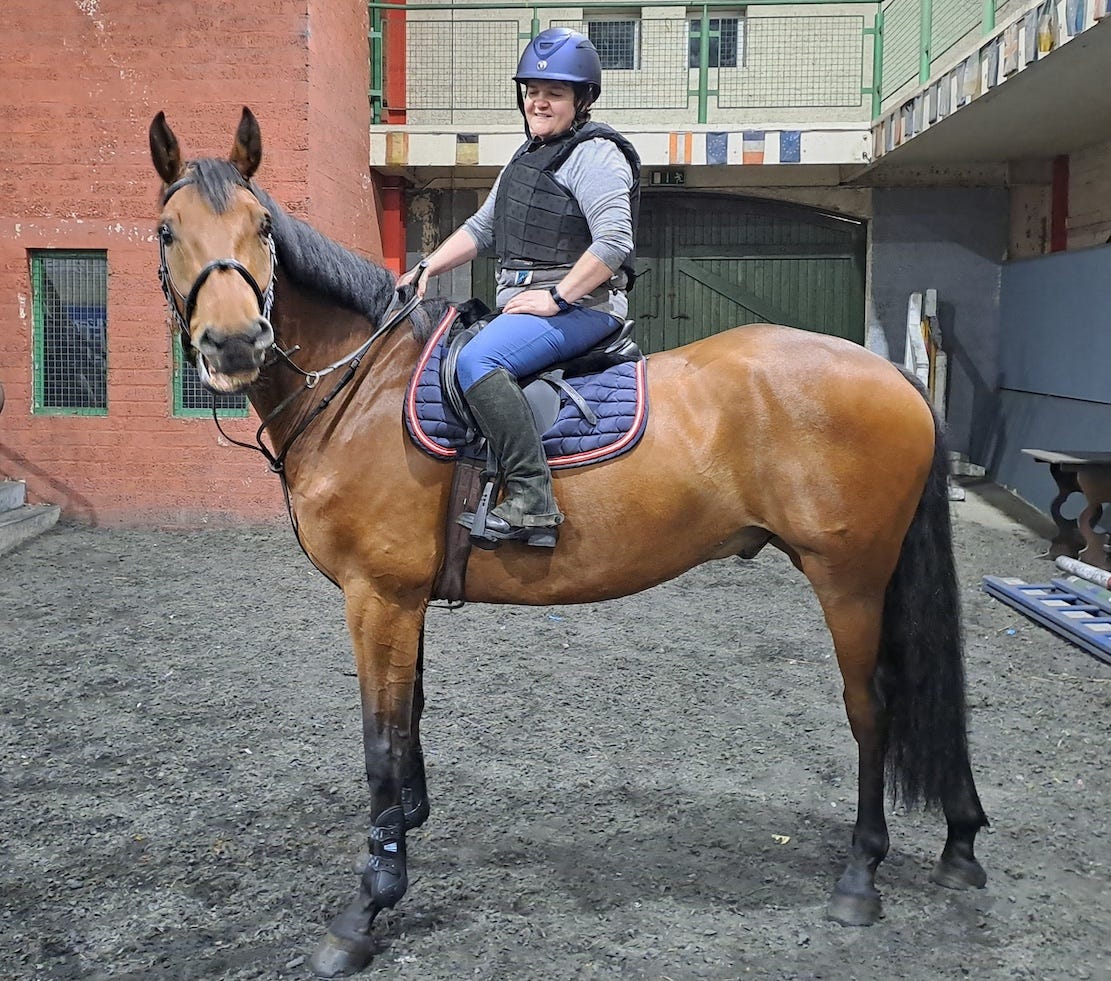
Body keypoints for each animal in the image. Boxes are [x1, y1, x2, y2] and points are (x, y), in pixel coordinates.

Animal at [148, 107, 988, 977]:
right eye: (168, 230)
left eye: (262, 227)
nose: (234, 343)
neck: (364, 387)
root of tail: (892, 376)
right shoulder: (402, 600)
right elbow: (410, 714)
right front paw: (407, 823)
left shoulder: (375, 597)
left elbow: (380, 738)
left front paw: (368, 902)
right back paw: (959, 839)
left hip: (849, 578)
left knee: (871, 707)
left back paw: (860, 871)